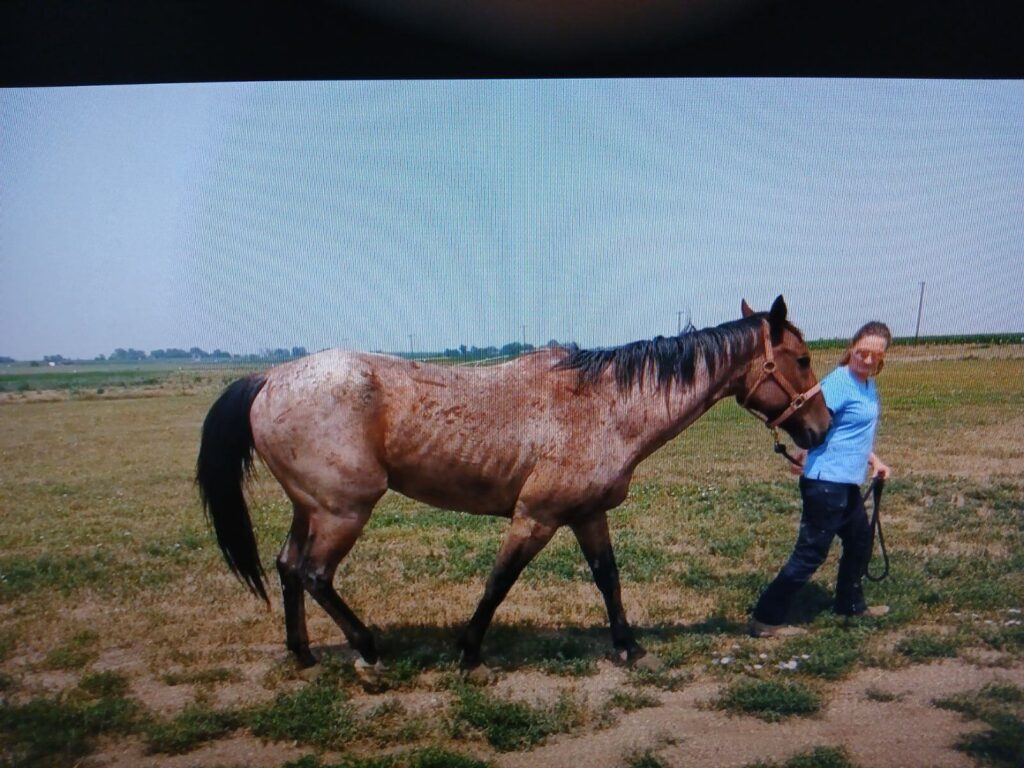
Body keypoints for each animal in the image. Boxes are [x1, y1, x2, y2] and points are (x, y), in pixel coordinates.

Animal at [196, 295, 830, 673]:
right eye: (801, 359)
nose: (822, 427)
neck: (601, 406)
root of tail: (268, 379)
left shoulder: (586, 515)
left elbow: (607, 577)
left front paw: (627, 645)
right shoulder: (537, 517)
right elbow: (499, 582)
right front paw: (468, 651)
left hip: (311, 508)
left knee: (287, 567)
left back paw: (303, 654)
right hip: (342, 512)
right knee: (314, 574)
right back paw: (368, 647)